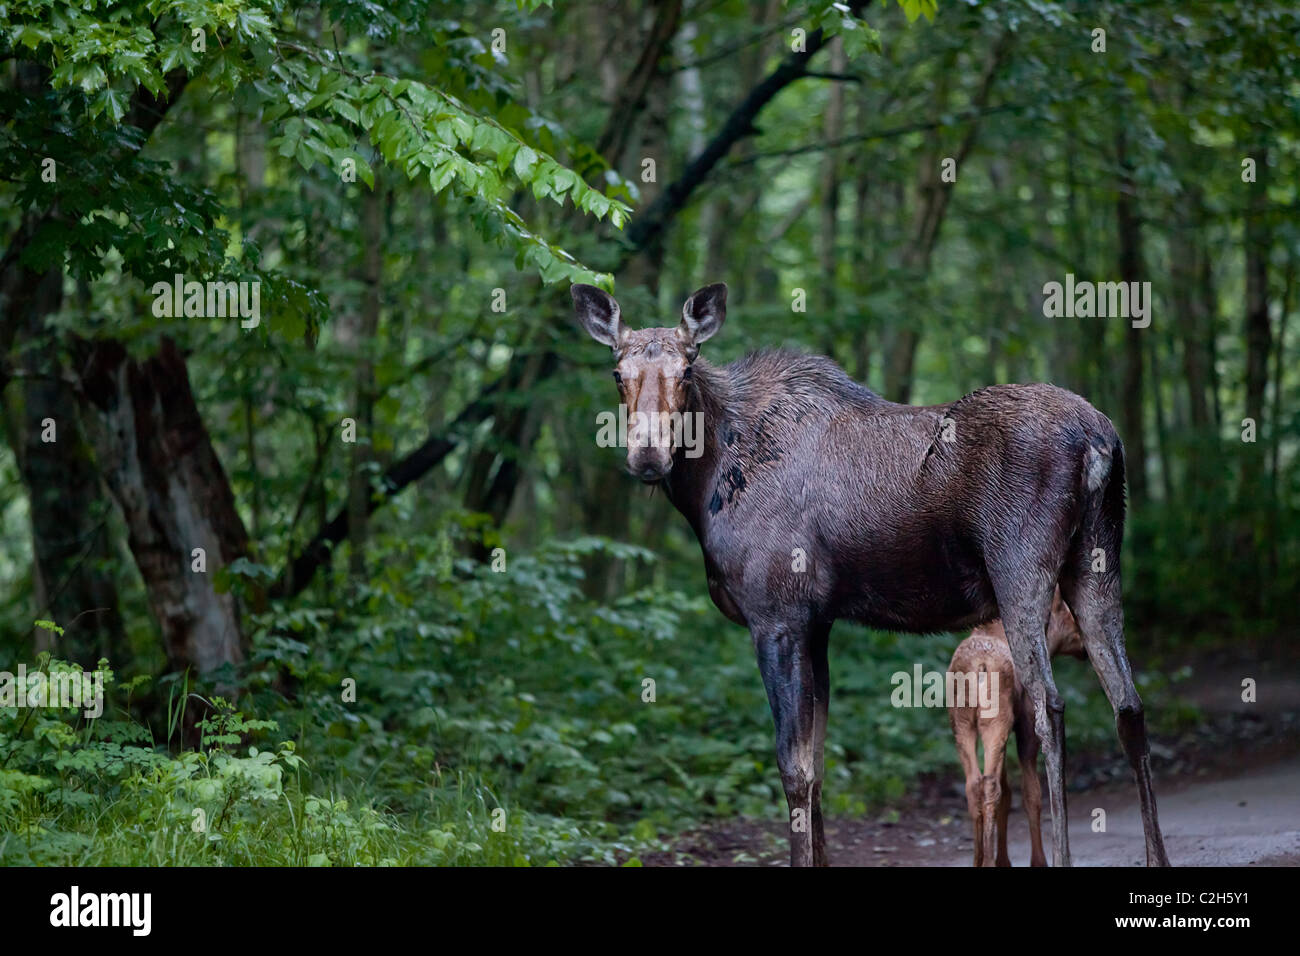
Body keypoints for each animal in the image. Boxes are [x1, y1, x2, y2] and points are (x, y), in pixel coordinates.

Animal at [949, 586, 1086, 866]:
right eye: (1069, 614)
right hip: (995, 722)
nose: (1085, 647)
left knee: (975, 784)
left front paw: (1004, 859)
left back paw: (979, 858)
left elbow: (1008, 794)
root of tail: (978, 667)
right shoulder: (1026, 724)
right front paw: (1038, 860)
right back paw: (988, 860)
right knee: (990, 784)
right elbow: (1031, 794)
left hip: (962, 723)